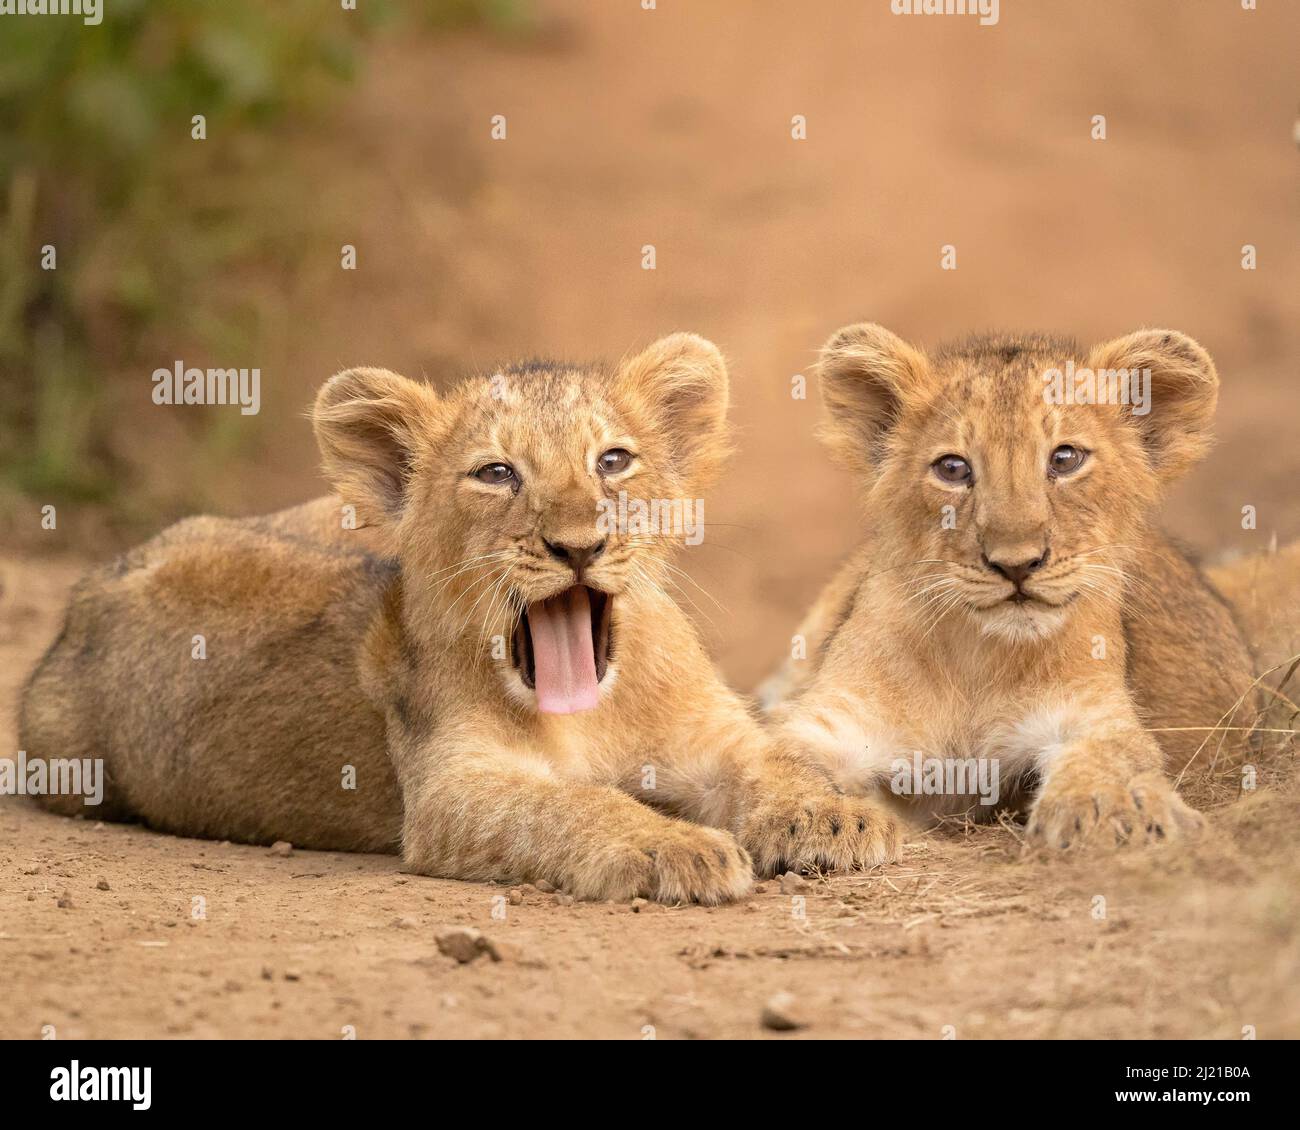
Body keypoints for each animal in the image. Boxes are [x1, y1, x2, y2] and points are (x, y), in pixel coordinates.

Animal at [19, 334, 899, 903]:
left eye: (613, 460)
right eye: (496, 473)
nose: (579, 545)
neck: (592, 710)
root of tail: (92, 589)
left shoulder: (714, 735)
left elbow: (775, 764)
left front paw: (836, 821)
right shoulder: (451, 788)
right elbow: (567, 804)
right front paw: (672, 845)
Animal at [760, 323, 1263, 848]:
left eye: (1065, 459)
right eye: (953, 468)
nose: (1016, 564)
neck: (977, 660)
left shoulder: (1093, 709)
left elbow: (1113, 752)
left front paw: (1114, 807)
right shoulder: (832, 719)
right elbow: (777, 759)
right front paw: (818, 816)